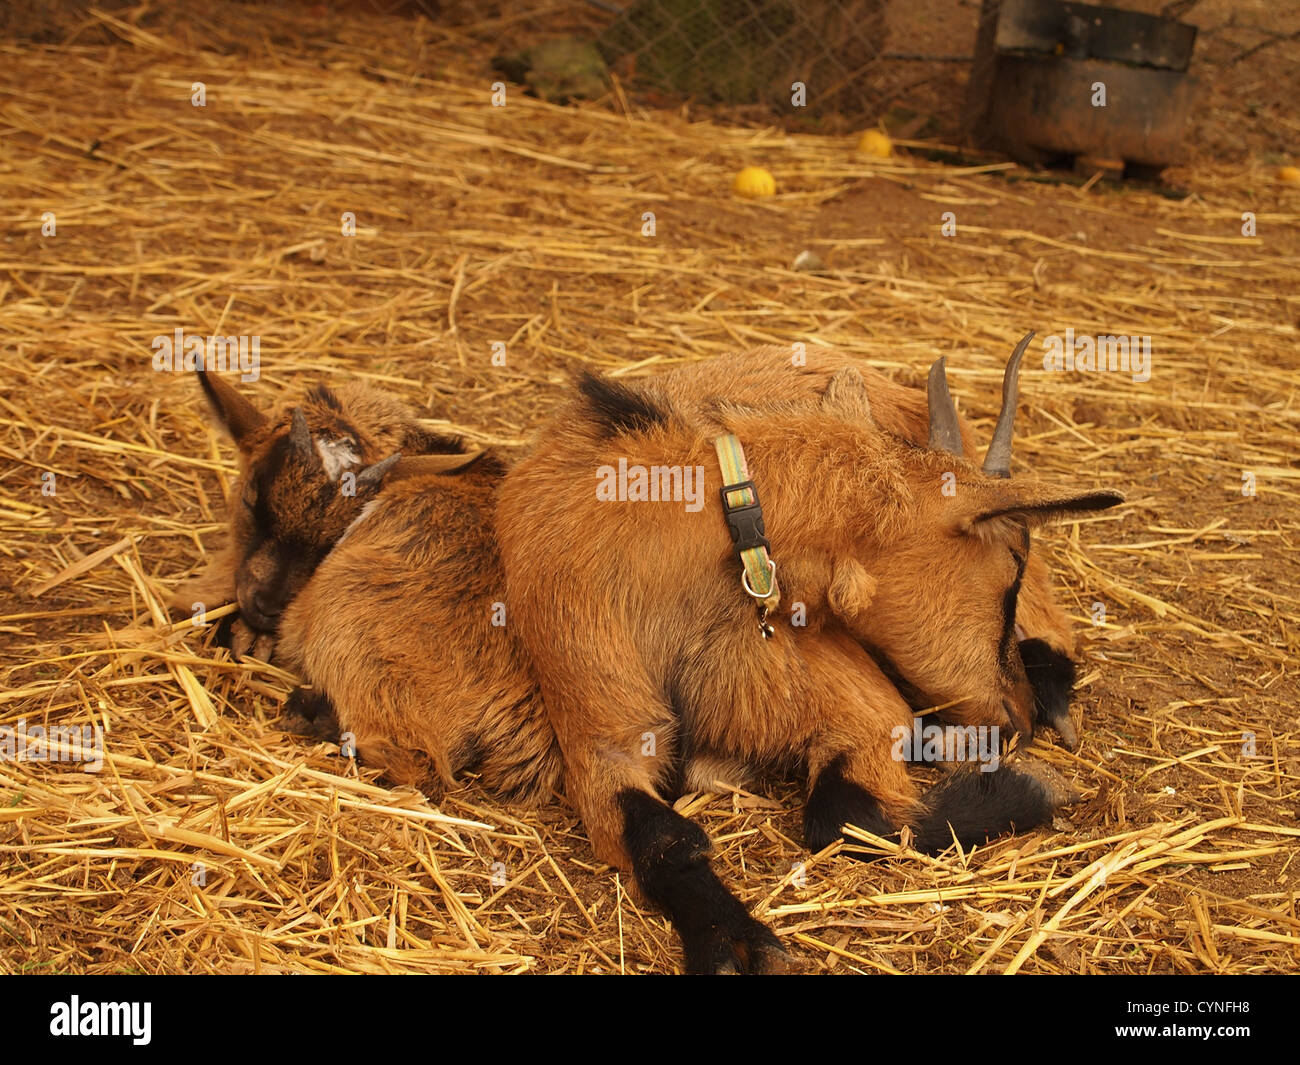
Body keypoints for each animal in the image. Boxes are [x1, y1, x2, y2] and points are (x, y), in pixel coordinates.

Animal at [496, 336, 1124, 973]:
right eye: (1010, 561)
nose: (1020, 716)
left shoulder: (861, 709)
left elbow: (846, 814)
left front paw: (1036, 781)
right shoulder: (601, 740)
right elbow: (663, 838)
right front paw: (733, 942)